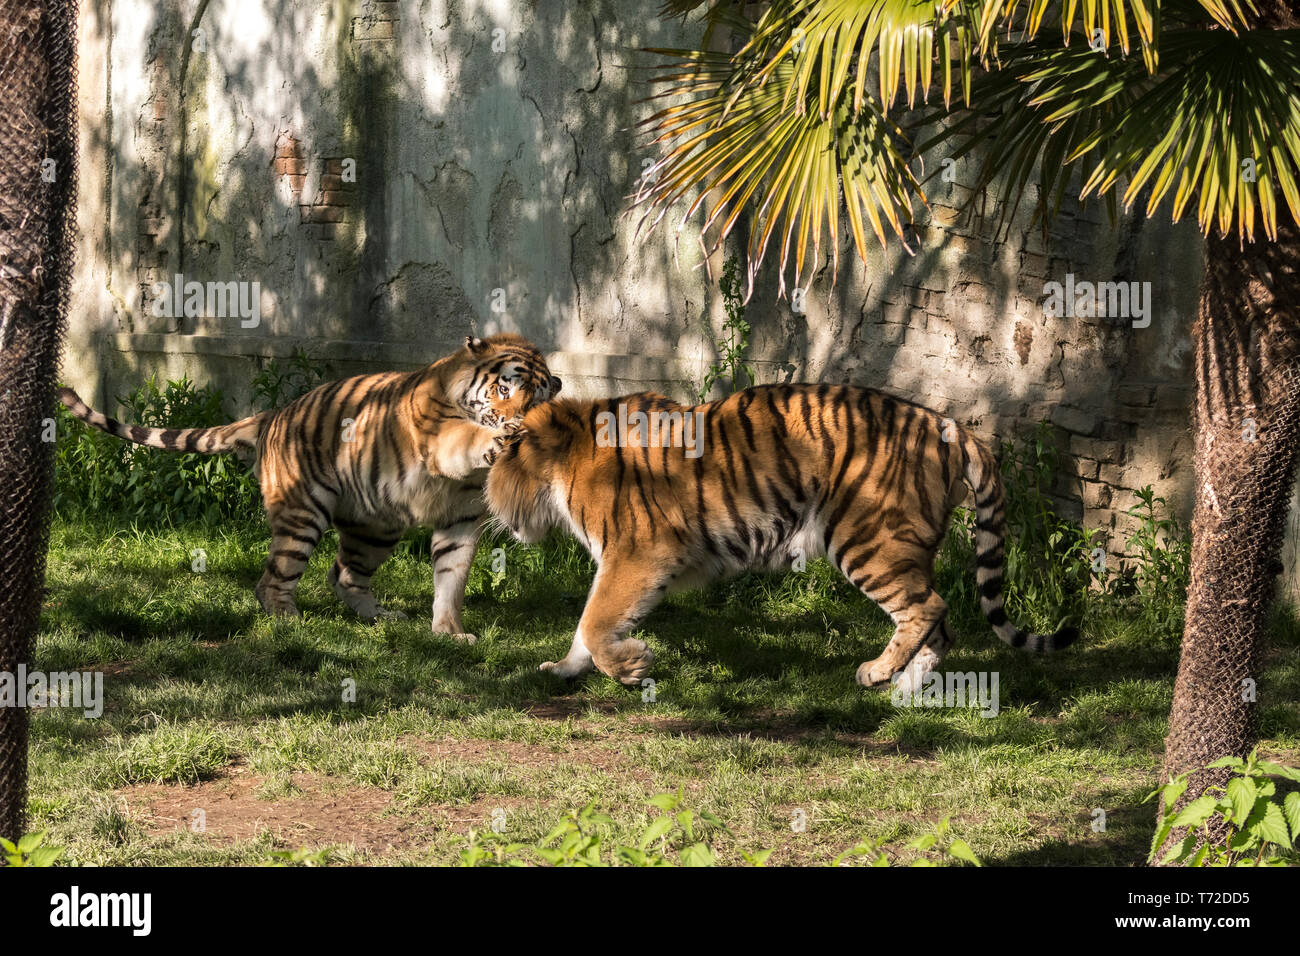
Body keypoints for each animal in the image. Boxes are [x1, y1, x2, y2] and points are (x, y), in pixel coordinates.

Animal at [59, 334, 560, 639]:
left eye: (536, 399)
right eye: (503, 389)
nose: (518, 420)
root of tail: (272, 415)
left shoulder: (461, 517)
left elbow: (452, 578)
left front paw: (450, 633)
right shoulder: (438, 438)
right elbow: (466, 437)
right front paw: (496, 438)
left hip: (376, 529)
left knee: (343, 574)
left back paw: (381, 617)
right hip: (303, 514)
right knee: (272, 579)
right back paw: (288, 620)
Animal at [485, 384, 1077, 693]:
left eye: (492, 454)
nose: (489, 505)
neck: (561, 462)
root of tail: (950, 427)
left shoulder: (636, 555)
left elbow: (595, 620)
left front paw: (632, 666)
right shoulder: (622, 561)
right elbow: (584, 626)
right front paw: (564, 669)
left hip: (868, 538)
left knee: (927, 607)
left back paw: (877, 673)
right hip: (907, 548)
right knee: (941, 623)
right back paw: (906, 688)